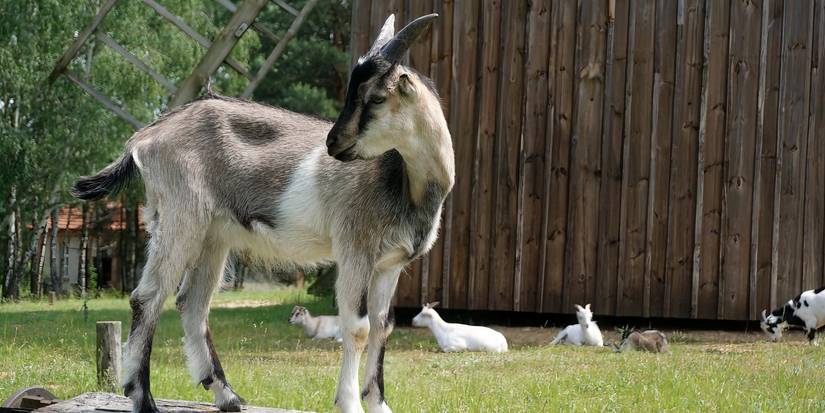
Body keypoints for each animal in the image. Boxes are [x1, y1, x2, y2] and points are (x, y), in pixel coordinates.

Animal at [72, 14, 450, 413]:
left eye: (376, 97)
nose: (333, 143)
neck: (403, 183)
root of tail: (143, 139)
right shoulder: (355, 251)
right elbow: (358, 326)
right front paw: (349, 402)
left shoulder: (390, 264)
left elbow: (383, 325)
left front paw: (378, 404)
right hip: (180, 217)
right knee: (148, 297)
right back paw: (144, 399)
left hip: (213, 236)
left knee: (193, 304)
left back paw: (227, 396)